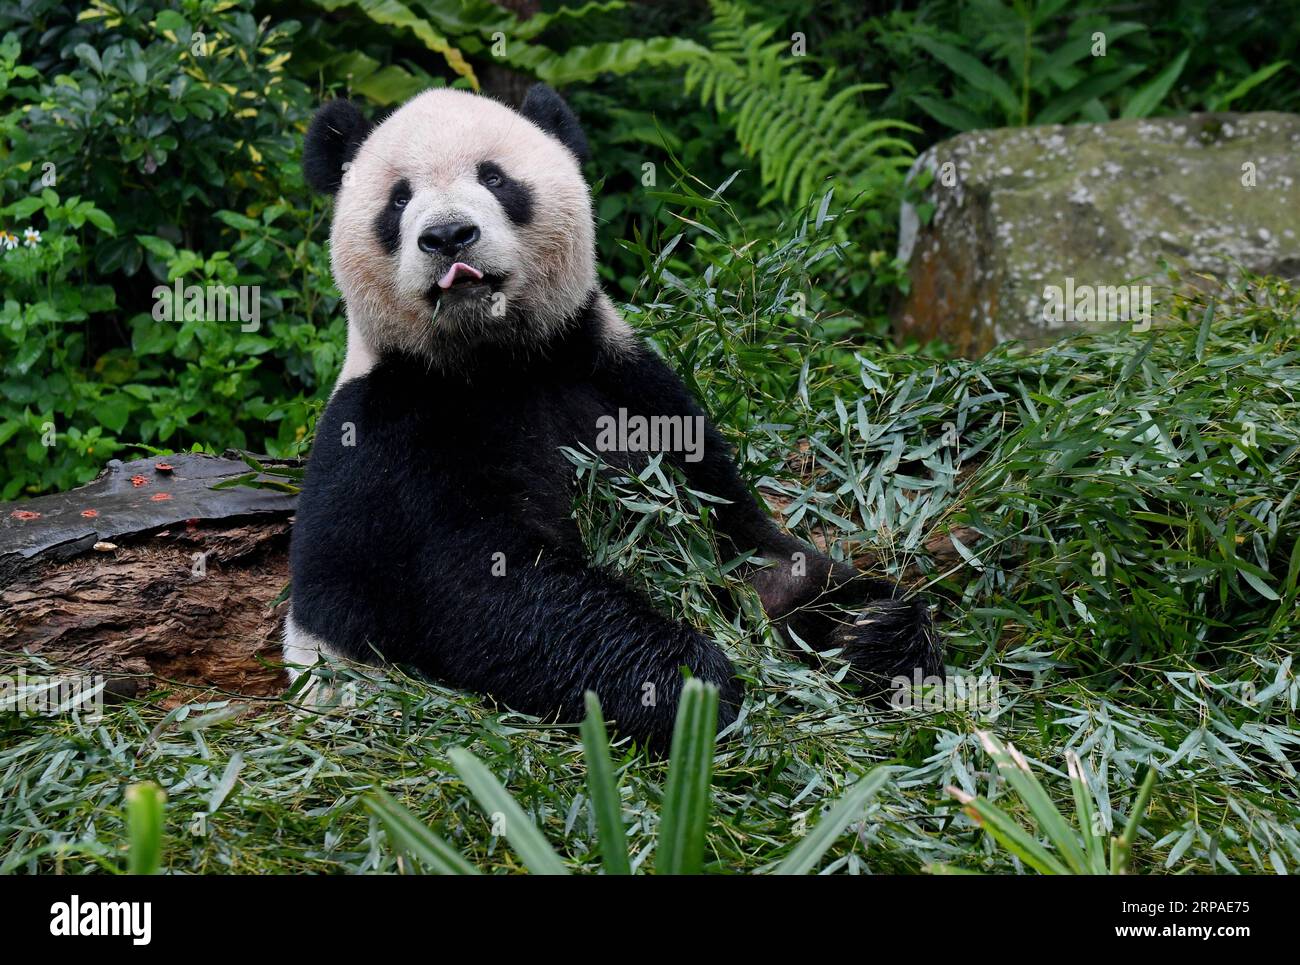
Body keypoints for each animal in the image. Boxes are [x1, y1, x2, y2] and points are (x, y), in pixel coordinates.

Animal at [285, 84, 942, 749]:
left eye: (494, 178)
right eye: (399, 199)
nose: (448, 236)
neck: (493, 361)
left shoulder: (623, 382)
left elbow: (747, 551)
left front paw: (876, 632)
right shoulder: (392, 441)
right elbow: (486, 590)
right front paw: (693, 687)